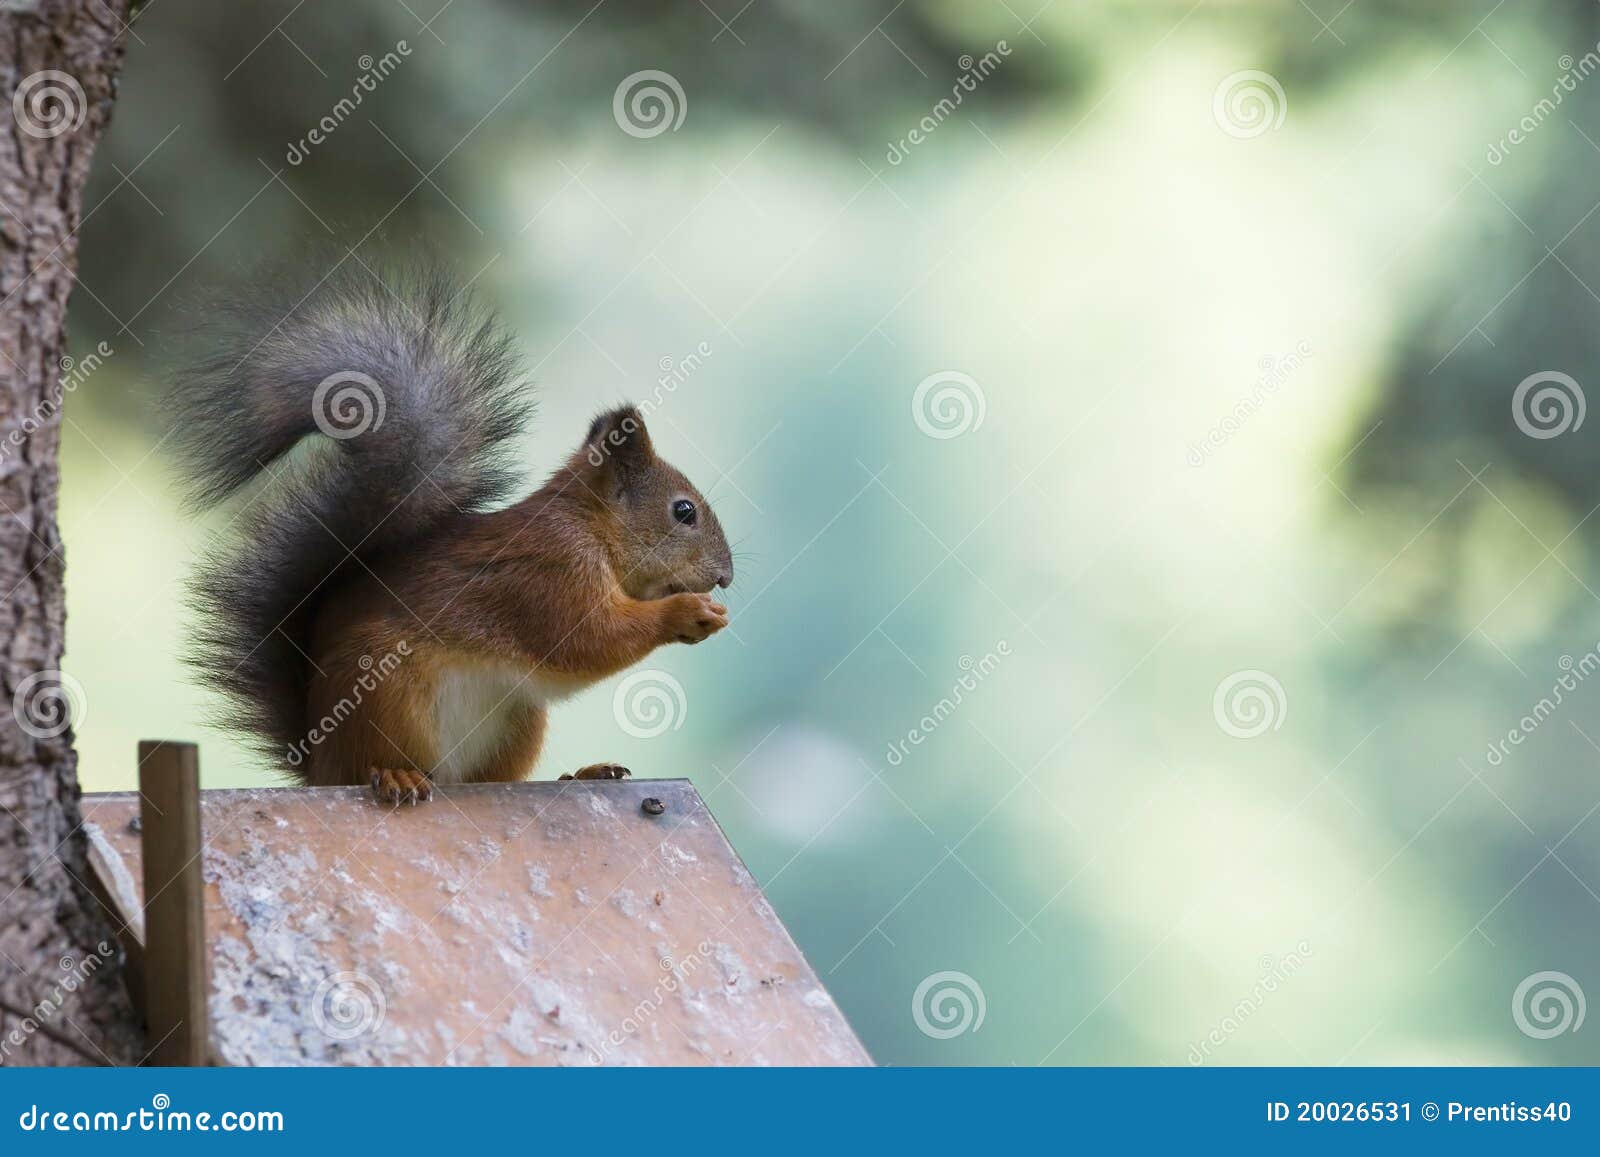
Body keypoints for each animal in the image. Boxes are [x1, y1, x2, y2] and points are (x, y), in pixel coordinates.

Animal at [167, 261, 732, 804]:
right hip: (384, 690)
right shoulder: (550, 573)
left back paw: (578, 775)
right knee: (373, 766)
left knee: (487, 781)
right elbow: (589, 639)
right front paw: (687, 612)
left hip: (517, 717)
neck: (591, 528)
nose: (725, 577)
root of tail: (316, 765)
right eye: (684, 512)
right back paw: (394, 776)